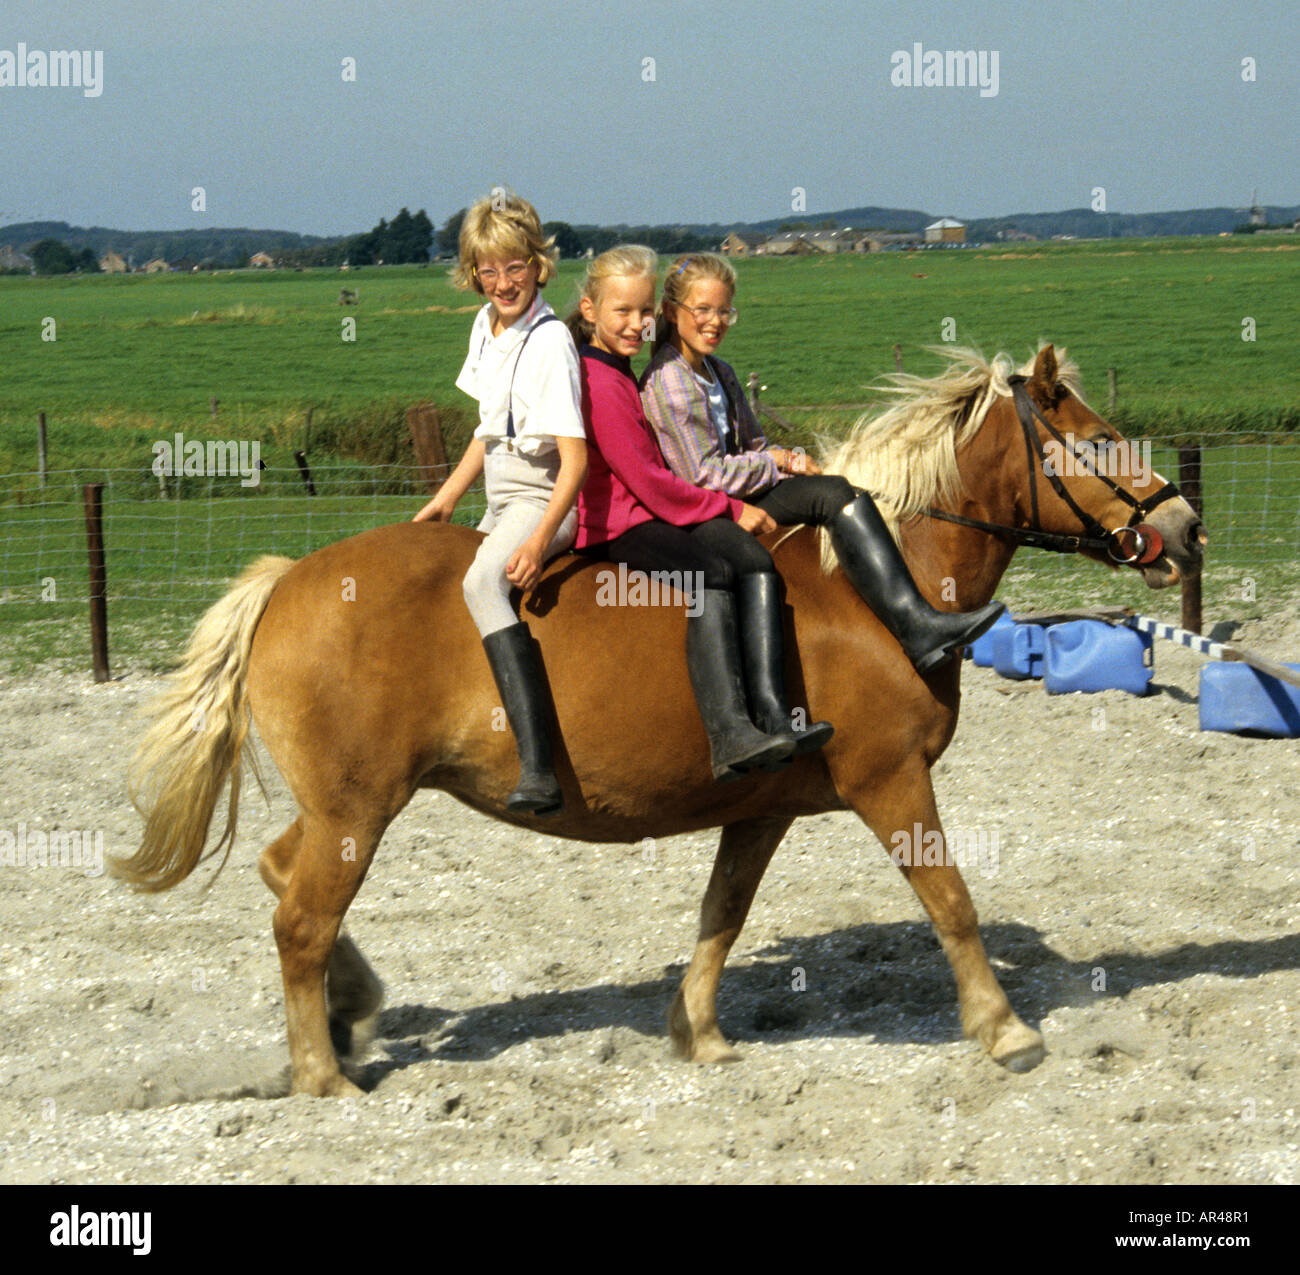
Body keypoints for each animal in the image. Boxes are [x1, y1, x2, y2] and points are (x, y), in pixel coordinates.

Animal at [113, 343, 1206, 1098]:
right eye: (1096, 438)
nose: (1184, 526)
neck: (875, 587)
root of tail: (285, 583)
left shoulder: (763, 806)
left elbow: (721, 916)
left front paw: (700, 1033)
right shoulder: (889, 779)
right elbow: (950, 902)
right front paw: (1004, 1027)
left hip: (343, 807)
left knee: (282, 876)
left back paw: (352, 1013)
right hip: (357, 810)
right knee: (299, 921)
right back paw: (322, 1072)